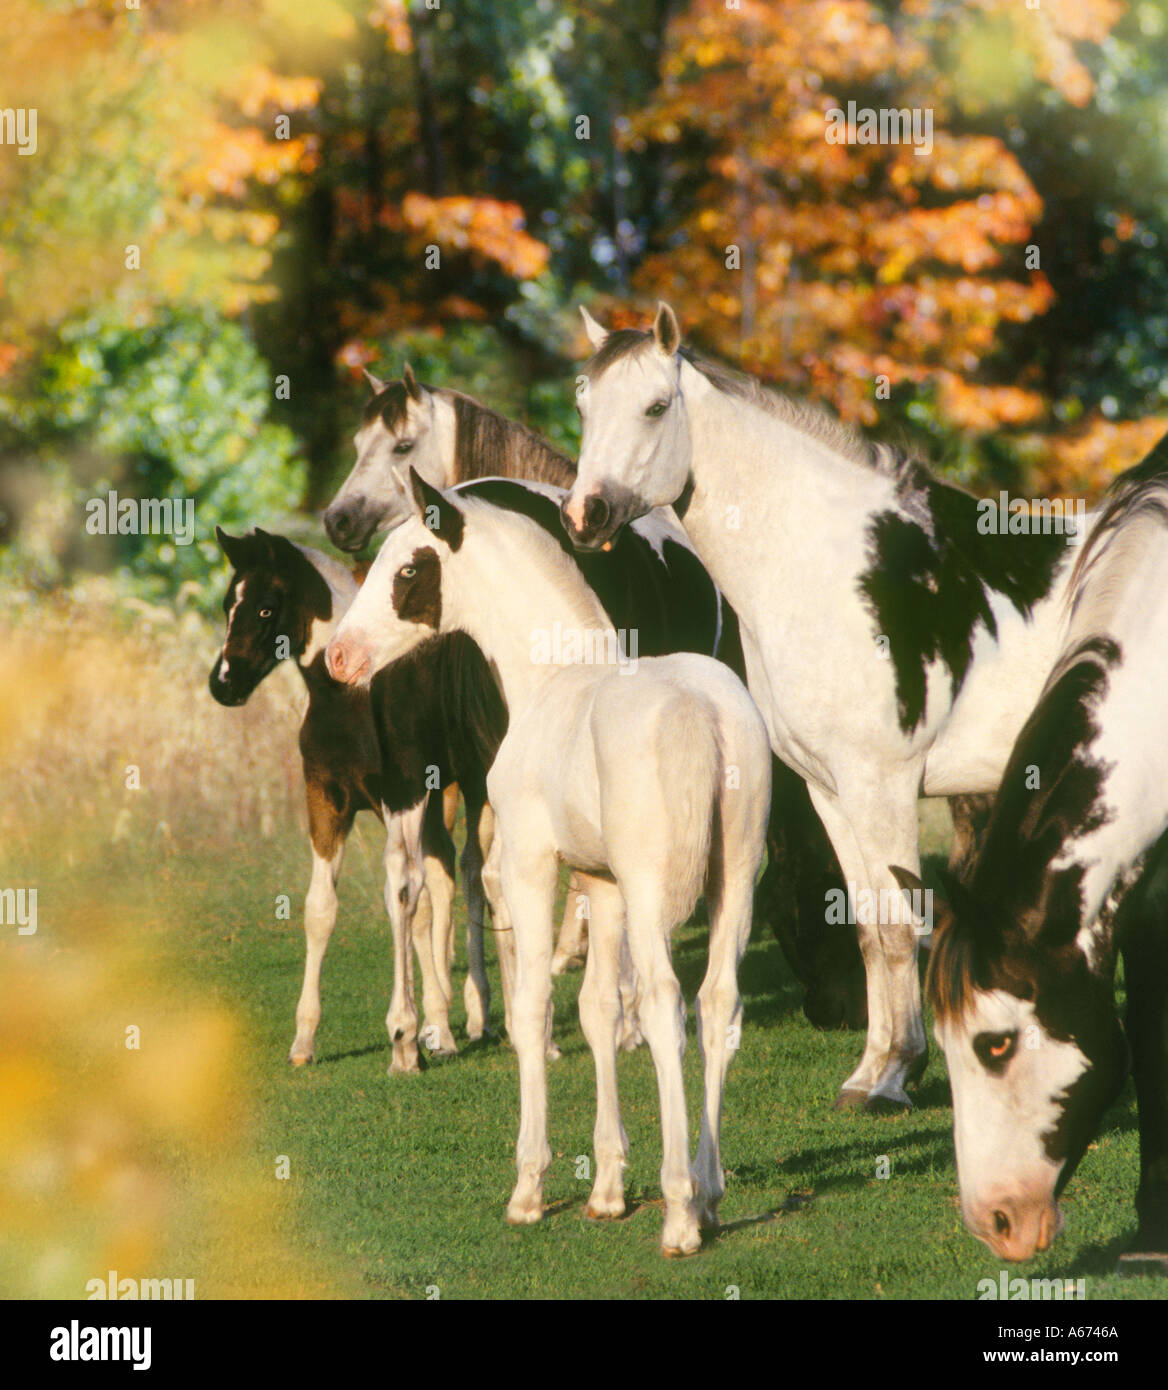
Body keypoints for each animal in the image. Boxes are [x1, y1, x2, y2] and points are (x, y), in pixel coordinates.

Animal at [208, 525, 506, 1073]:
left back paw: (479, 1015)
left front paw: (404, 1040)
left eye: (265, 609)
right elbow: (323, 908)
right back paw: (442, 1022)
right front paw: (304, 1040)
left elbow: (404, 897)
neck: (347, 696)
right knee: (442, 878)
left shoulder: (404, 797)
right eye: (226, 605)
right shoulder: (327, 801)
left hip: (476, 787)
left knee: (474, 876)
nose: (223, 684)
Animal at [326, 470, 771, 1256]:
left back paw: (681, 1212)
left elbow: (533, 1007)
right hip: (735, 884)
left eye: (409, 568)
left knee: (666, 1004)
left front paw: (530, 1186)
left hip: (657, 895)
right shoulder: (602, 884)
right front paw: (607, 1187)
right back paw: (710, 1191)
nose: (339, 659)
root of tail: (707, 716)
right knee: (718, 1004)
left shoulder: (533, 867)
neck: (554, 676)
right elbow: (597, 1010)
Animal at [562, 303, 1087, 1110]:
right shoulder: (832, 789)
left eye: (654, 407)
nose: (584, 516)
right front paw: (873, 1069)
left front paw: (895, 1078)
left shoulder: (885, 785)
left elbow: (902, 926)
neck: (833, 570)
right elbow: (870, 927)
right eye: (585, 407)